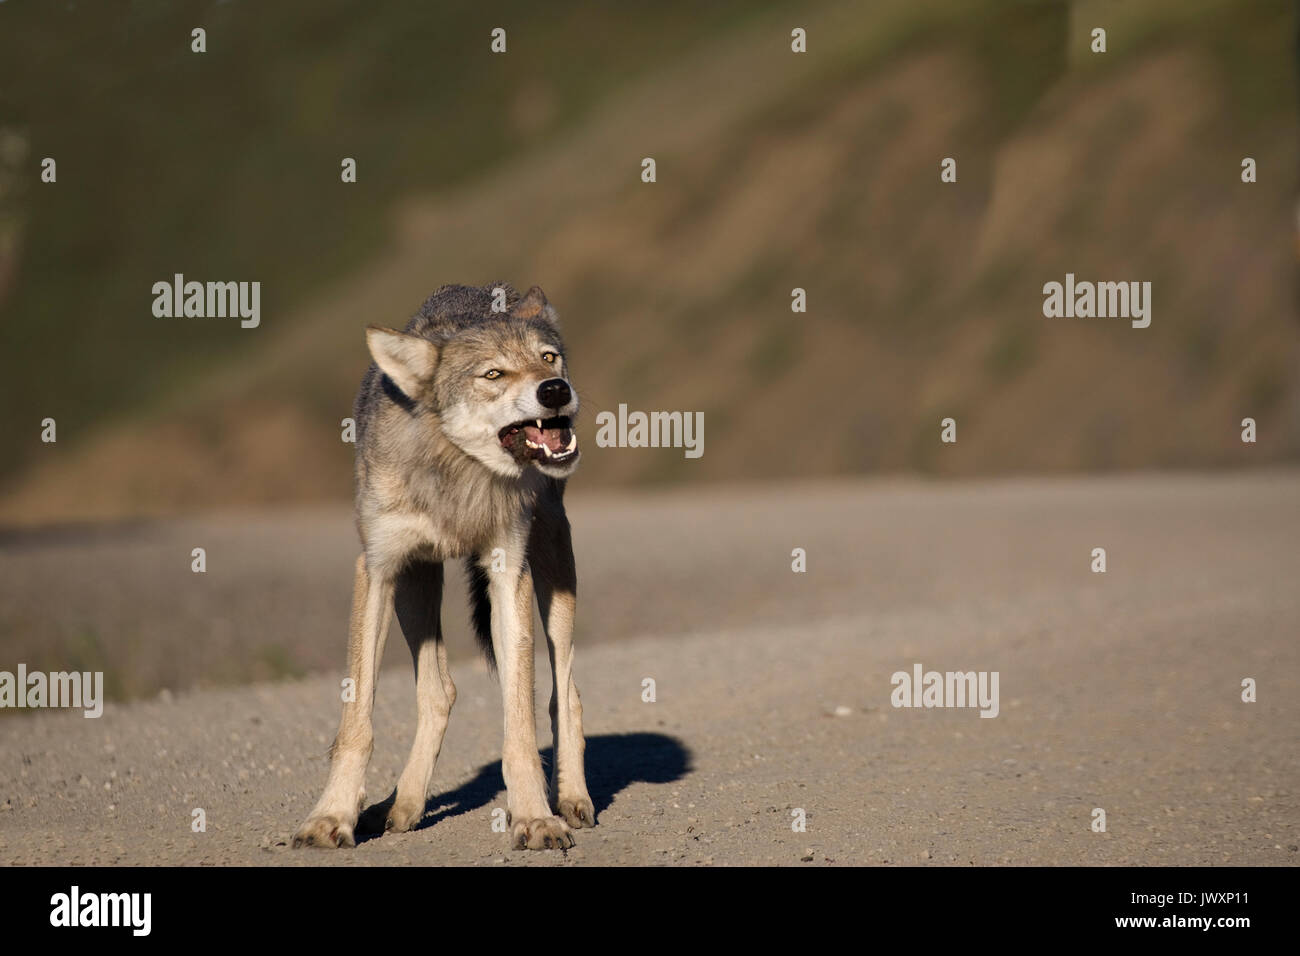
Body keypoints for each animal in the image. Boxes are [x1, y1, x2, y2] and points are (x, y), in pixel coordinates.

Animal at [292, 282, 594, 851]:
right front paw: (331, 817)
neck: (459, 475)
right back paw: (402, 805)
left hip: (554, 571)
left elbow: (519, 724)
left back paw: (572, 798)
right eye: (493, 374)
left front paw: (535, 817)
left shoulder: (509, 573)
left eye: (547, 358)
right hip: (417, 584)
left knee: (565, 693)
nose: (555, 390)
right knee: (440, 692)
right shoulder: (379, 569)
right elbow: (356, 724)